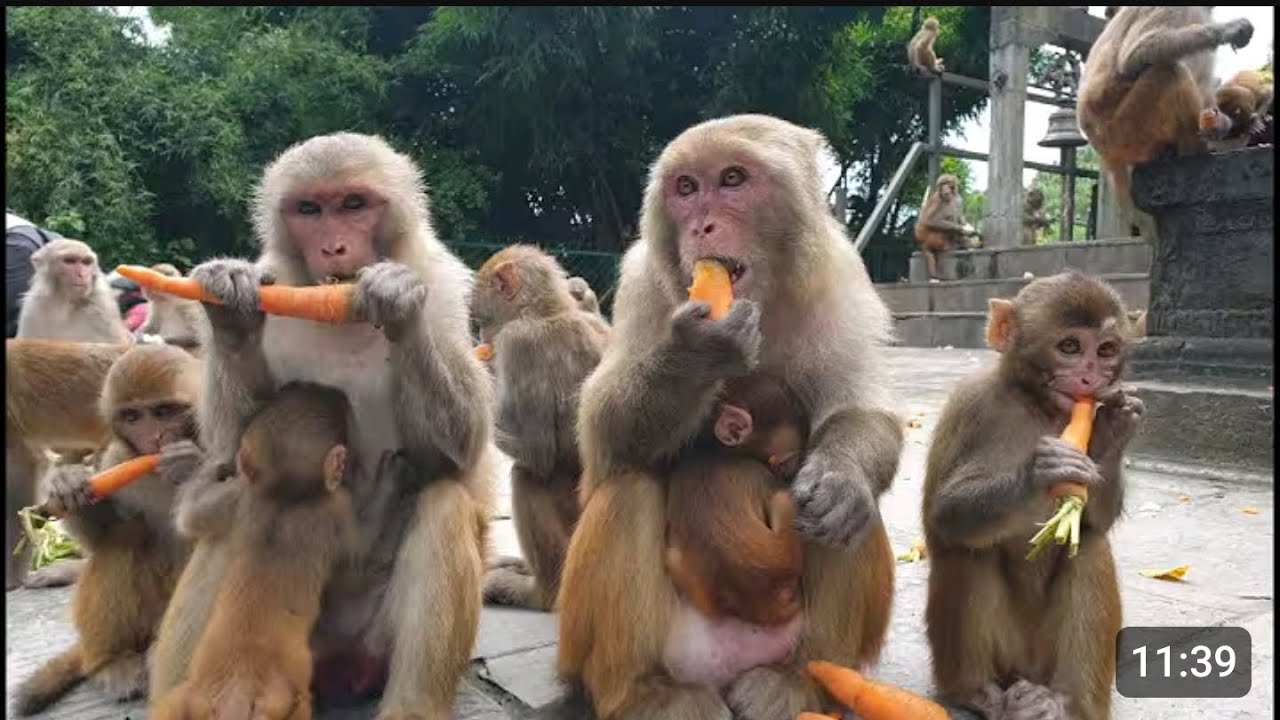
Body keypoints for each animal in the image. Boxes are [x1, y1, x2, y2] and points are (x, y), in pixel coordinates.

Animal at [149, 383, 362, 720]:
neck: (283, 496)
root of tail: (240, 683)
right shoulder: (339, 508)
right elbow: (354, 575)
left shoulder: (236, 496)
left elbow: (190, 517)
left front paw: (200, 464)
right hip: (284, 691)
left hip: (196, 695)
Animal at [470, 245, 608, 611]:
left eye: (483, 321)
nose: (481, 337)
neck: (545, 311)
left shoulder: (518, 344)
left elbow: (538, 453)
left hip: (574, 547)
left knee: (527, 474)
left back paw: (538, 592)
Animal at [922, 271, 1144, 720]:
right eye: (1070, 347)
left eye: (1106, 350)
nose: (1090, 379)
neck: (1037, 407)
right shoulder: (971, 406)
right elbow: (944, 515)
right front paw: (1042, 472)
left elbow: (1094, 520)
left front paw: (1114, 428)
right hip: (1006, 655)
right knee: (969, 550)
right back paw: (976, 692)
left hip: (1043, 661)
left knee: (1089, 544)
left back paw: (1065, 703)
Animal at [1077, 7, 1255, 203]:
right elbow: (1132, 57)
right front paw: (1227, 30)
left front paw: (1220, 124)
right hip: (1123, 131)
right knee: (1168, 71)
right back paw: (1197, 149)